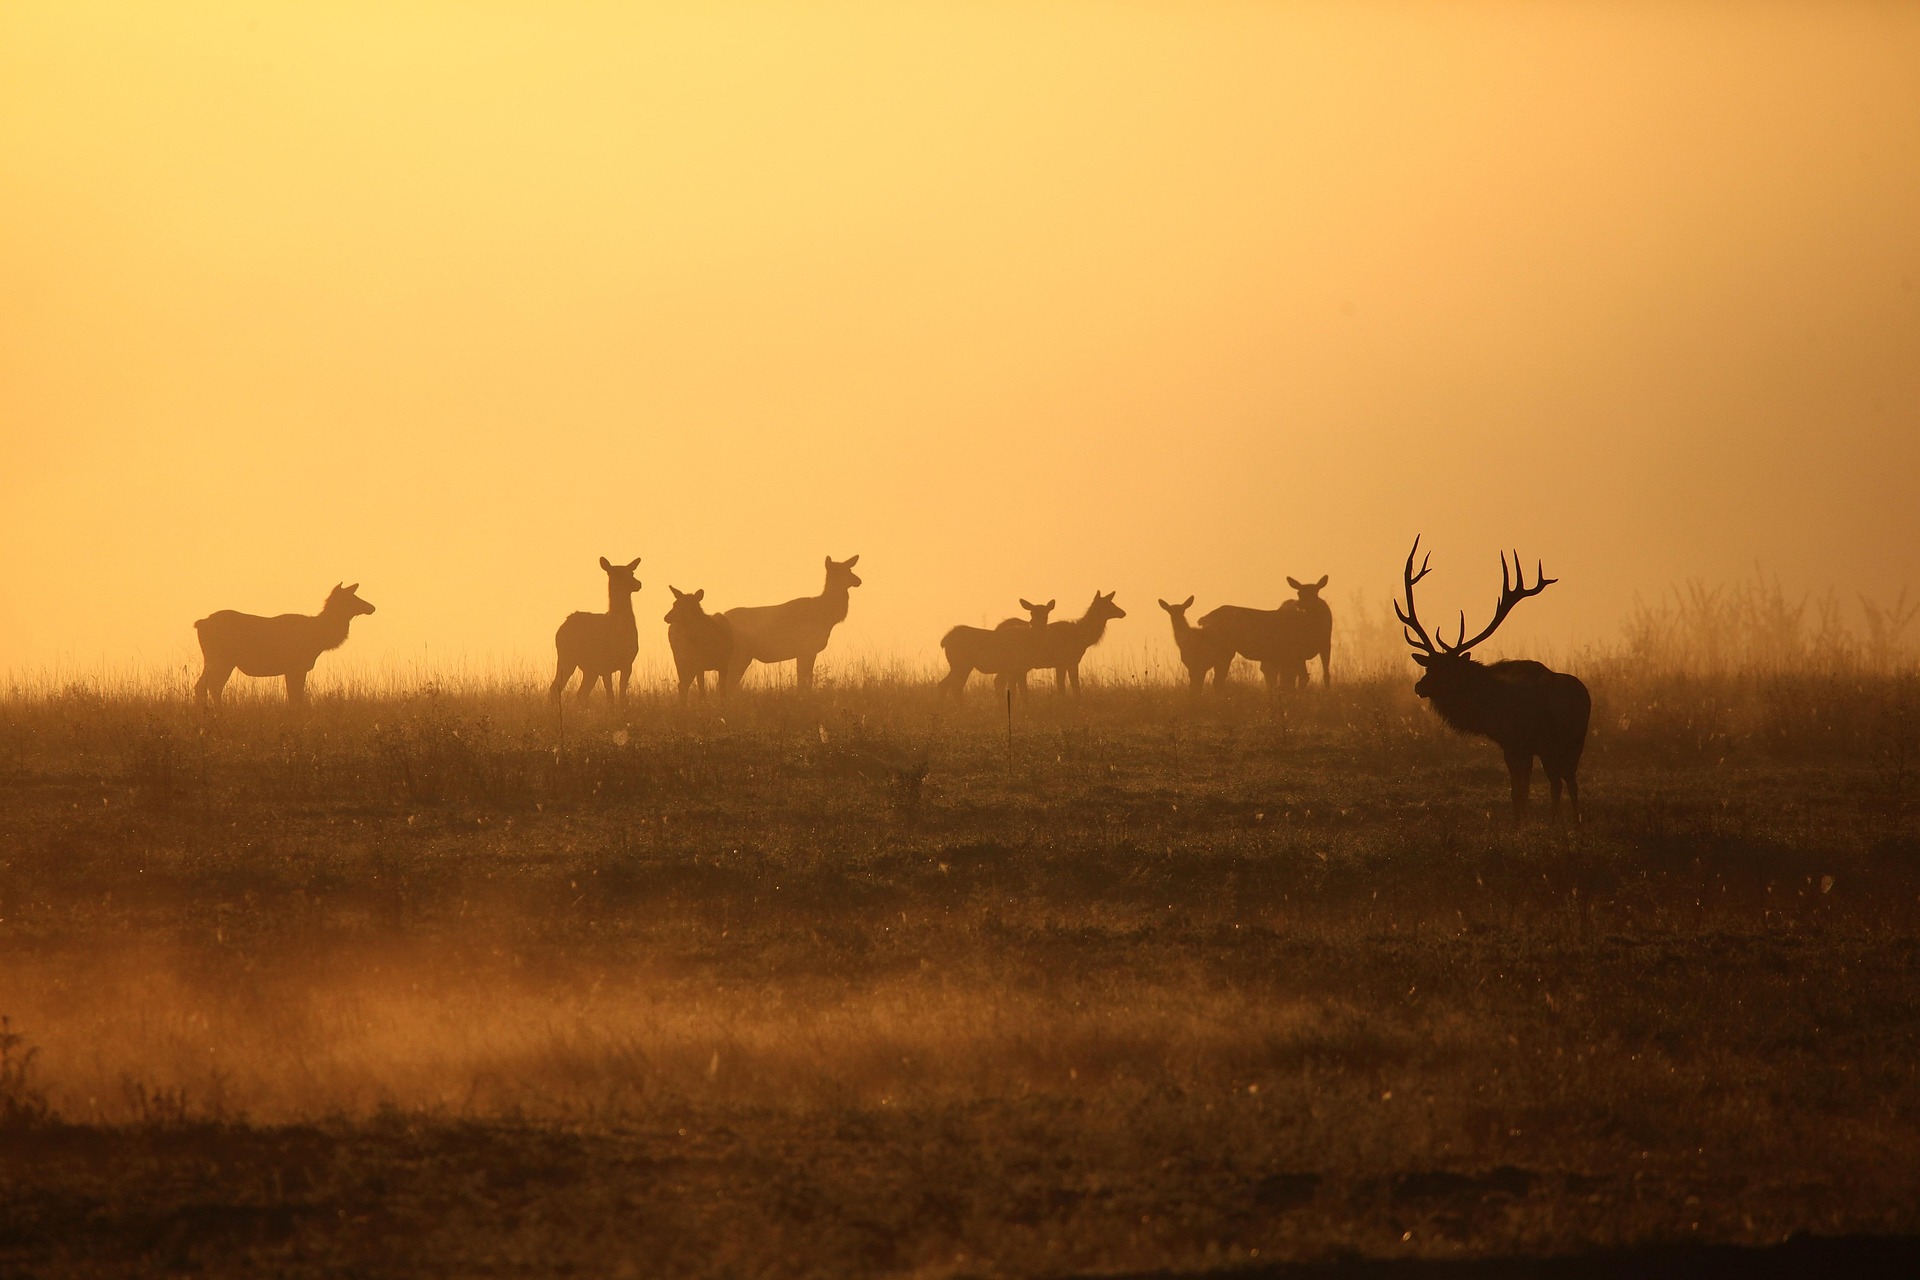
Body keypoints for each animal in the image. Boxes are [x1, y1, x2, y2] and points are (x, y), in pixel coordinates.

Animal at [193, 582, 376, 709]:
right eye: (351, 598)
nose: (372, 607)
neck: (319, 638)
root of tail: (199, 624)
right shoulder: (296, 667)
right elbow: (296, 698)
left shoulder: (294, 669)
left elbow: (294, 697)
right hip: (222, 659)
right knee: (212, 685)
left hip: (215, 660)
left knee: (202, 685)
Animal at [550, 556, 642, 704]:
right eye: (617, 574)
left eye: (631, 572)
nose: (638, 584)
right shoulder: (604, 665)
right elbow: (610, 697)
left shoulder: (628, 663)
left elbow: (622, 696)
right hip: (566, 657)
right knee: (555, 687)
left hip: (589, 669)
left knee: (580, 693)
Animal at [721, 555, 862, 692]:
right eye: (839, 571)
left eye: (849, 569)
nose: (858, 580)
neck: (827, 618)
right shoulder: (806, 649)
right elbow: (804, 681)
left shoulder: (807, 651)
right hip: (739, 653)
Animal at [1395, 537, 1591, 821]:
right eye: (1429, 667)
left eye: (1448, 671)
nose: (1419, 686)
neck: (1485, 708)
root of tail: (1584, 698)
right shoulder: (1520, 745)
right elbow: (1524, 789)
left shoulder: (1513, 741)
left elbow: (1518, 791)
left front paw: (1517, 824)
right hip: (1573, 741)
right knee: (1569, 780)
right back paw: (1573, 823)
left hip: (1554, 742)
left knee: (1559, 780)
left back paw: (1558, 822)